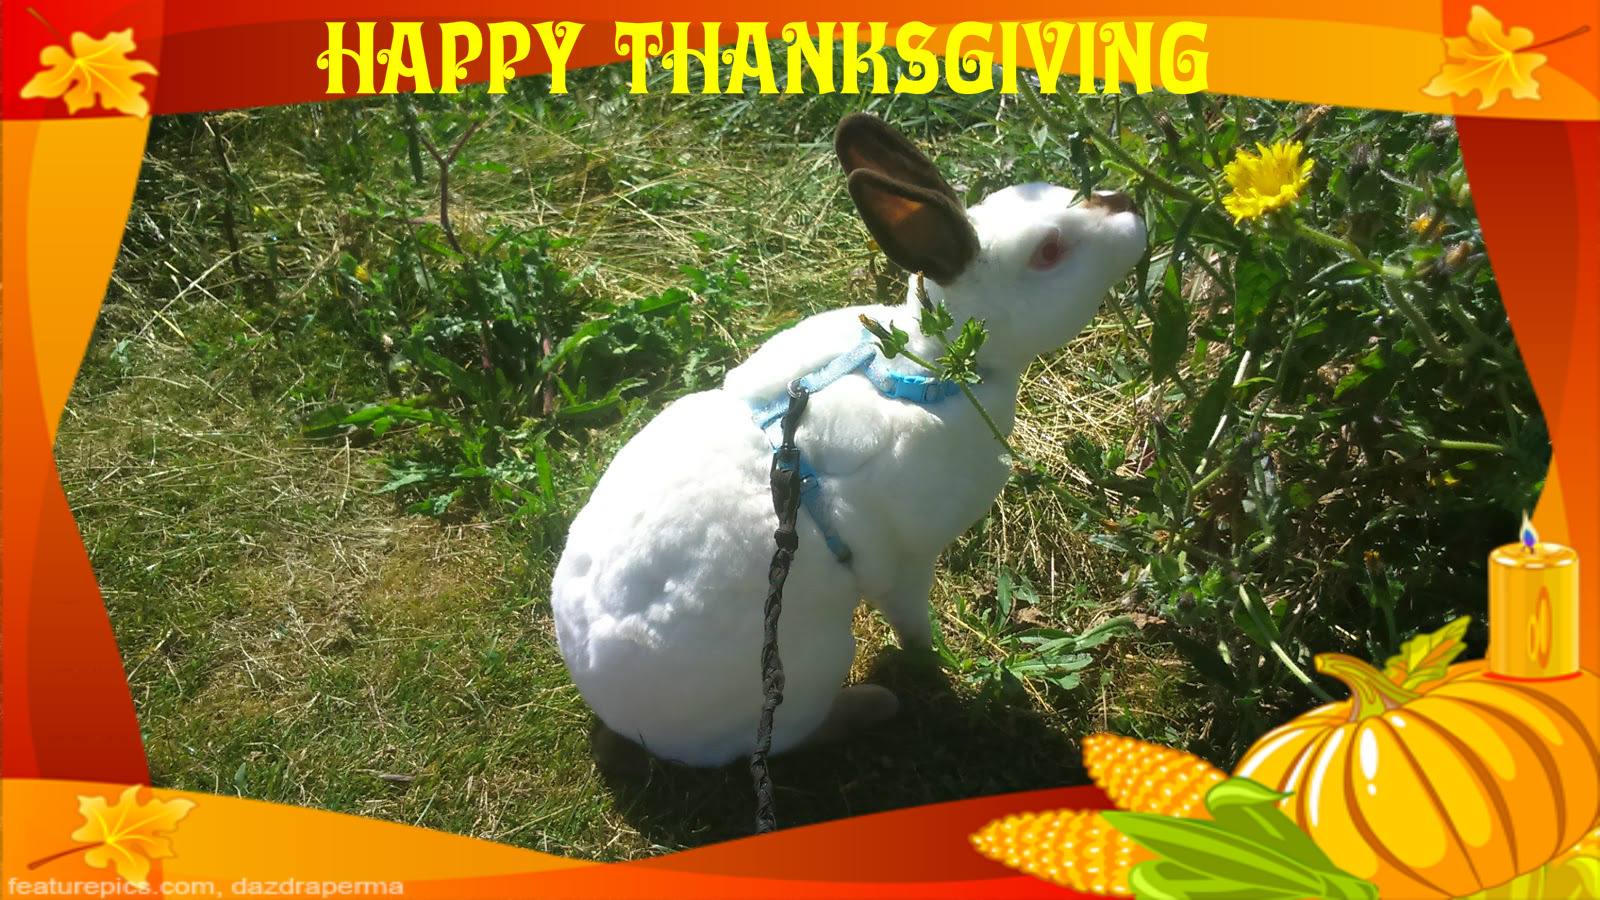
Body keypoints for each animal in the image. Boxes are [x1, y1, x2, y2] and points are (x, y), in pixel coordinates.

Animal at [551, 113, 1147, 768]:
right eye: (1049, 251)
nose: (1131, 205)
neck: (922, 369)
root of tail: (625, 720)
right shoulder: (905, 565)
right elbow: (913, 624)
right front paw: (935, 661)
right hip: (811, 668)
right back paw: (873, 704)